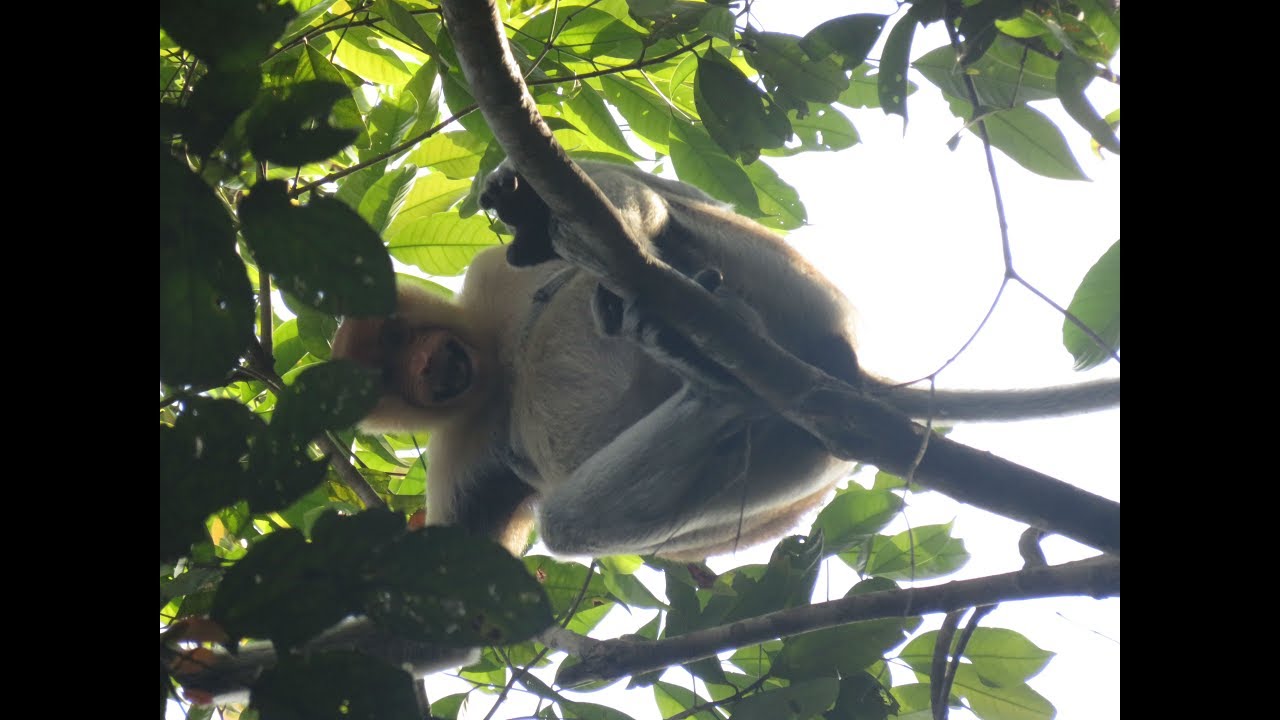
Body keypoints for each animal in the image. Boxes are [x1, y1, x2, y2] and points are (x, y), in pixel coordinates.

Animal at [332, 159, 1121, 558]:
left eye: (396, 341)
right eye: (378, 375)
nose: (428, 369)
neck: (499, 360)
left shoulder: (489, 278)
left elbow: (655, 190)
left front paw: (522, 197)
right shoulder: (462, 456)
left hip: (792, 282)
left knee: (642, 212)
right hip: (793, 456)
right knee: (571, 523)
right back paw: (717, 388)